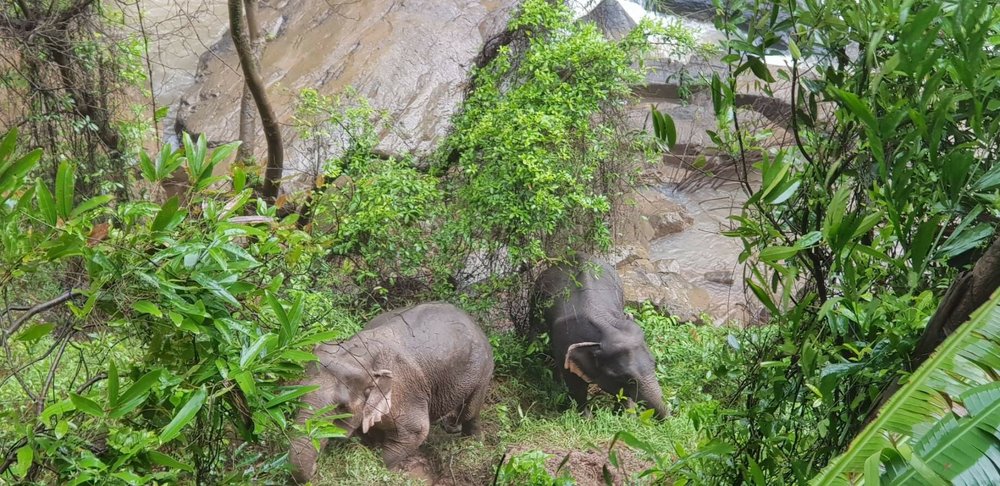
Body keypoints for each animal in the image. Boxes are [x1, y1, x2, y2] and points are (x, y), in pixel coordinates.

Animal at [288, 302, 494, 484]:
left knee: (470, 411)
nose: (315, 468)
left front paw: (383, 468)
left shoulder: (405, 393)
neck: (361, 355)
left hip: (483, 371)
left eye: (341, 407)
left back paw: (473, 441)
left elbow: (417, 431)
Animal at [529, 255, 668, 419]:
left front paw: (623, 416)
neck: (604, 327)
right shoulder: (563, 346)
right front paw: (586, 419)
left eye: (654, 364)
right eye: (627, 378)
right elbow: (576, 387)